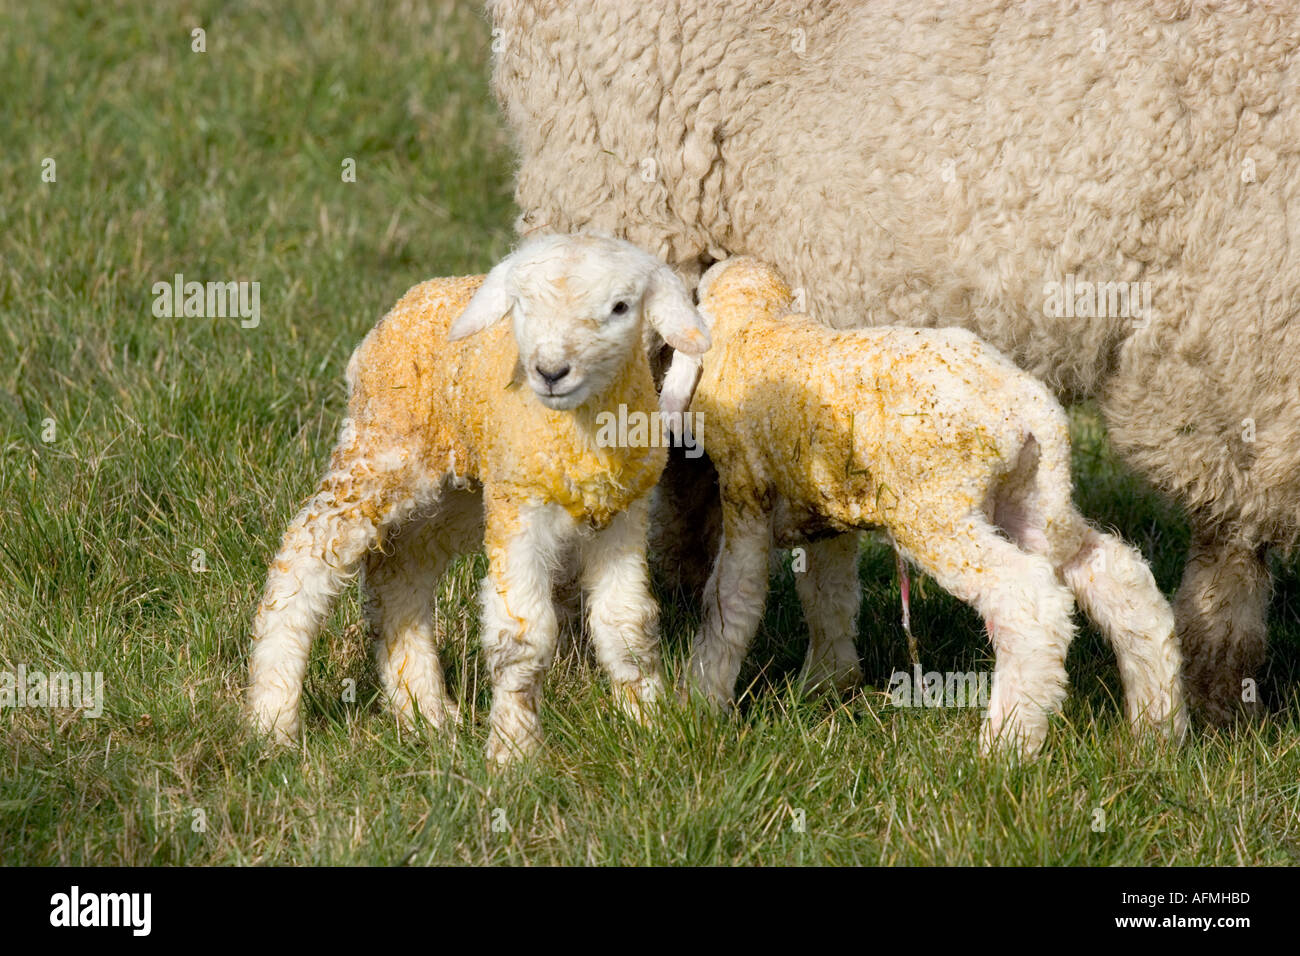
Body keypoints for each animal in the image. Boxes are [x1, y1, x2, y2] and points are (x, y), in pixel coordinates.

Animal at [246, 234, 710, 764]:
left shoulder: (623, 515)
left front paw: (651, 729)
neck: (582, 439)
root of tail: (411, 299)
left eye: (620, 307)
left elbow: (628, 624)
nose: (551, 372)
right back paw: (274, 718)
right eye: (522, 305)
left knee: (399, 572)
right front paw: (514, 753)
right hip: (381, 448)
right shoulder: (519, 508)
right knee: (306, 551)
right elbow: (523, 638)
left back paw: (424, 710)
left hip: (456, 489)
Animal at [668, 257, 1187, 756]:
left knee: (1027, 601)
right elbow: (828, 593)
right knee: (1116, 575)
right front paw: (826, 683)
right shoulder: (827, 509)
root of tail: (1028, 409)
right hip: (1030, 499)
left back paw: (1006, 748)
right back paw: (1157, 727)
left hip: (937, 513)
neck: (760, 321)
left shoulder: (744, 494)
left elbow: (732, 600)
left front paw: (701, 702)